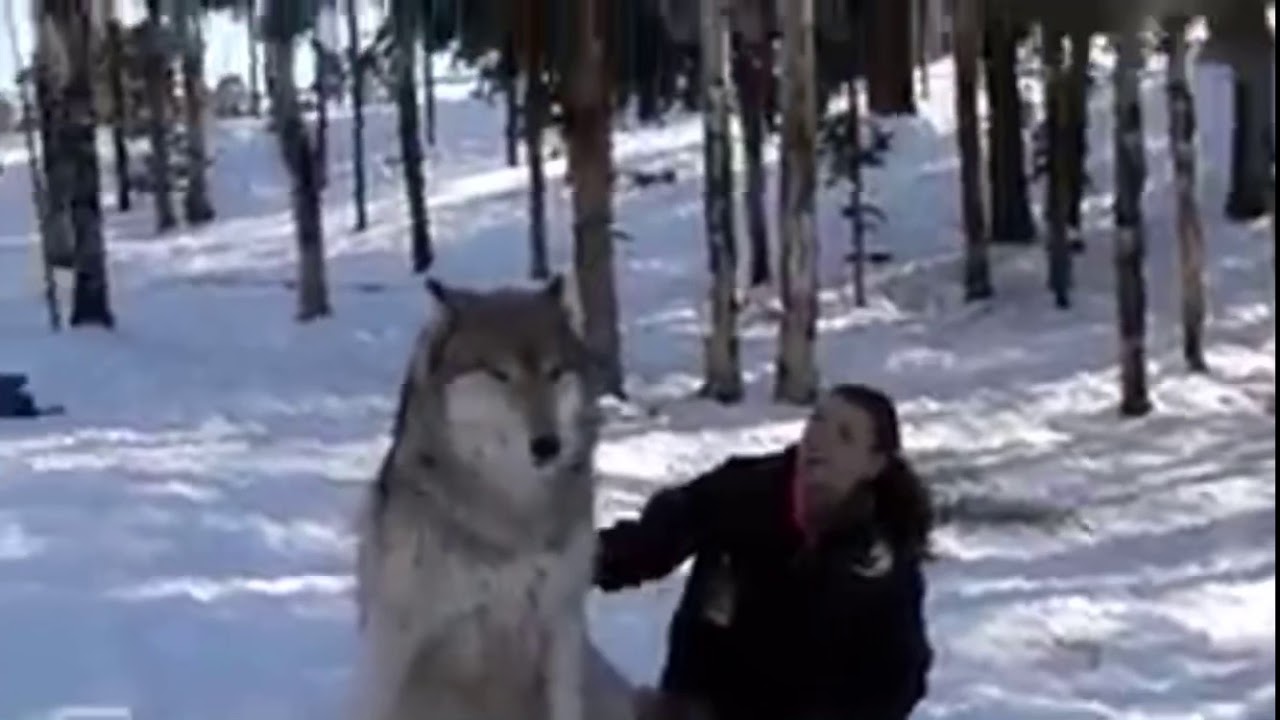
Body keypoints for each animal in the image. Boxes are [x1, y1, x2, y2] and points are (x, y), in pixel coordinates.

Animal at [350, 274, 635, 720]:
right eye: (500, 374)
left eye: (555, 372)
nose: (548, 445)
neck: (511, 512)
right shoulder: (397, 632)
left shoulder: (561, 623)